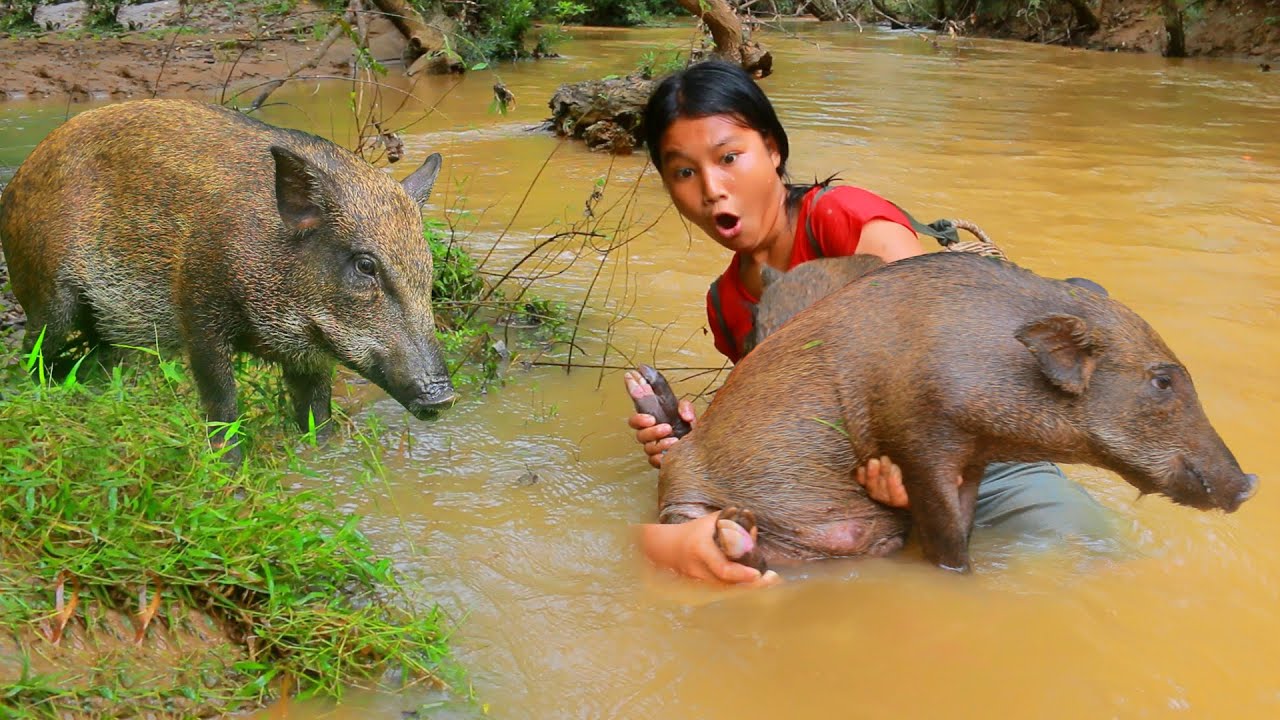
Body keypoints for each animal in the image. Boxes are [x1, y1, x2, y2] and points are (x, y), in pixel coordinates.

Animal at [0, 99, 454, 462]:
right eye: (364, 265)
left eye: (426, 265)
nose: (445, 396)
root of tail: (20, 176)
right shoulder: (197, 310)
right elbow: (222, 401)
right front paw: (228, 466)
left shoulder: (309, 353)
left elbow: (315, 410)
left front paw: (322, 453)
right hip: (47, 292)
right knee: (33, 355)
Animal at [644, 251, 1258, 573]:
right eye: (1163, 380)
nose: (1249, 482)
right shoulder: (919, 437)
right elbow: (949, 540)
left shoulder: (971, 459)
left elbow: (958, 527)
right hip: (679, 491)